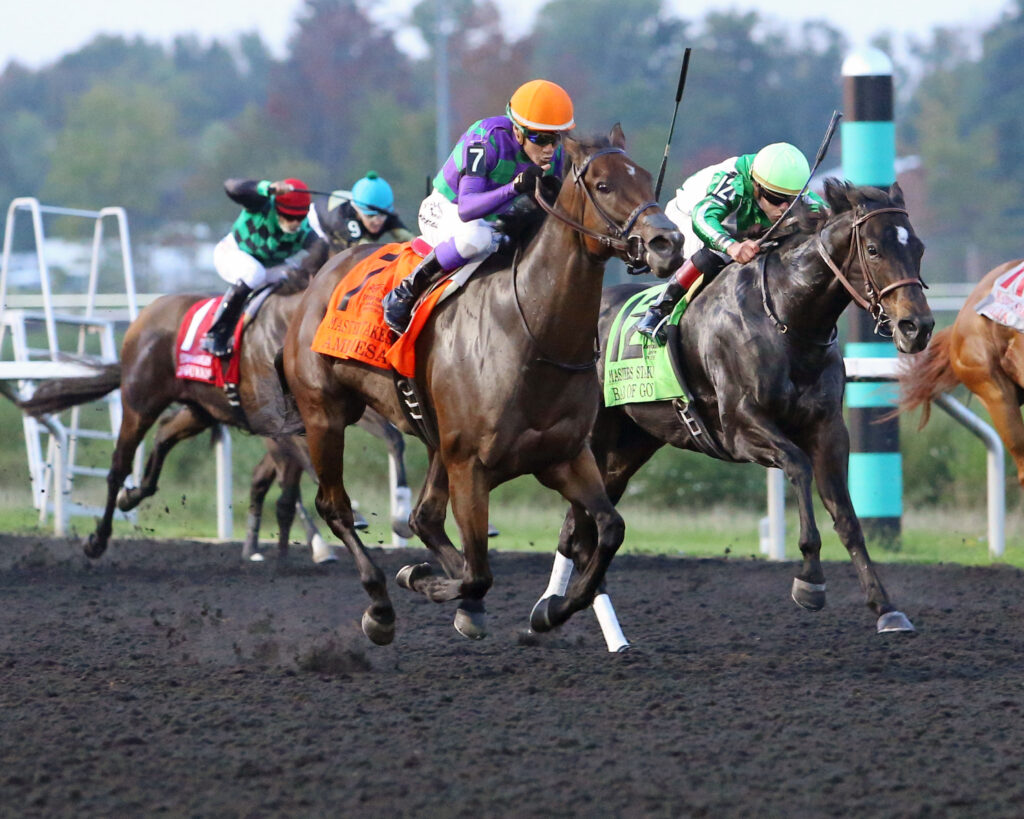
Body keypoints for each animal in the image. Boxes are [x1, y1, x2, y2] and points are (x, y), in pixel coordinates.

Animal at [283, 125, 685, 645]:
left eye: (645, 178)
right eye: (604, 185)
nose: (668, 242)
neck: (529, 333)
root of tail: (323, 276)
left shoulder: (566, 456)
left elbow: (609, 530)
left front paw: (550, 611)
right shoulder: (470, 466)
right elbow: (480, 573)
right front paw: (423, 581)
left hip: (434, 438)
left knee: (423, 516)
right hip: (325, 414)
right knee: (335, 506)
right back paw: (381, 606)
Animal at [532, 179, 934, 638]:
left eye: (918, 248)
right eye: (873, 249)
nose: (917, 328)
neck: (787, 318)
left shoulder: (828, 429)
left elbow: (847, 517)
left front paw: (886, 607)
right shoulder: (742, 428)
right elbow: (798, 466)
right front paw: (810, 579)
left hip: (625, 450)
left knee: (579, 529)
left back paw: (553, 610)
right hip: (590, 442)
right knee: (578, 530)